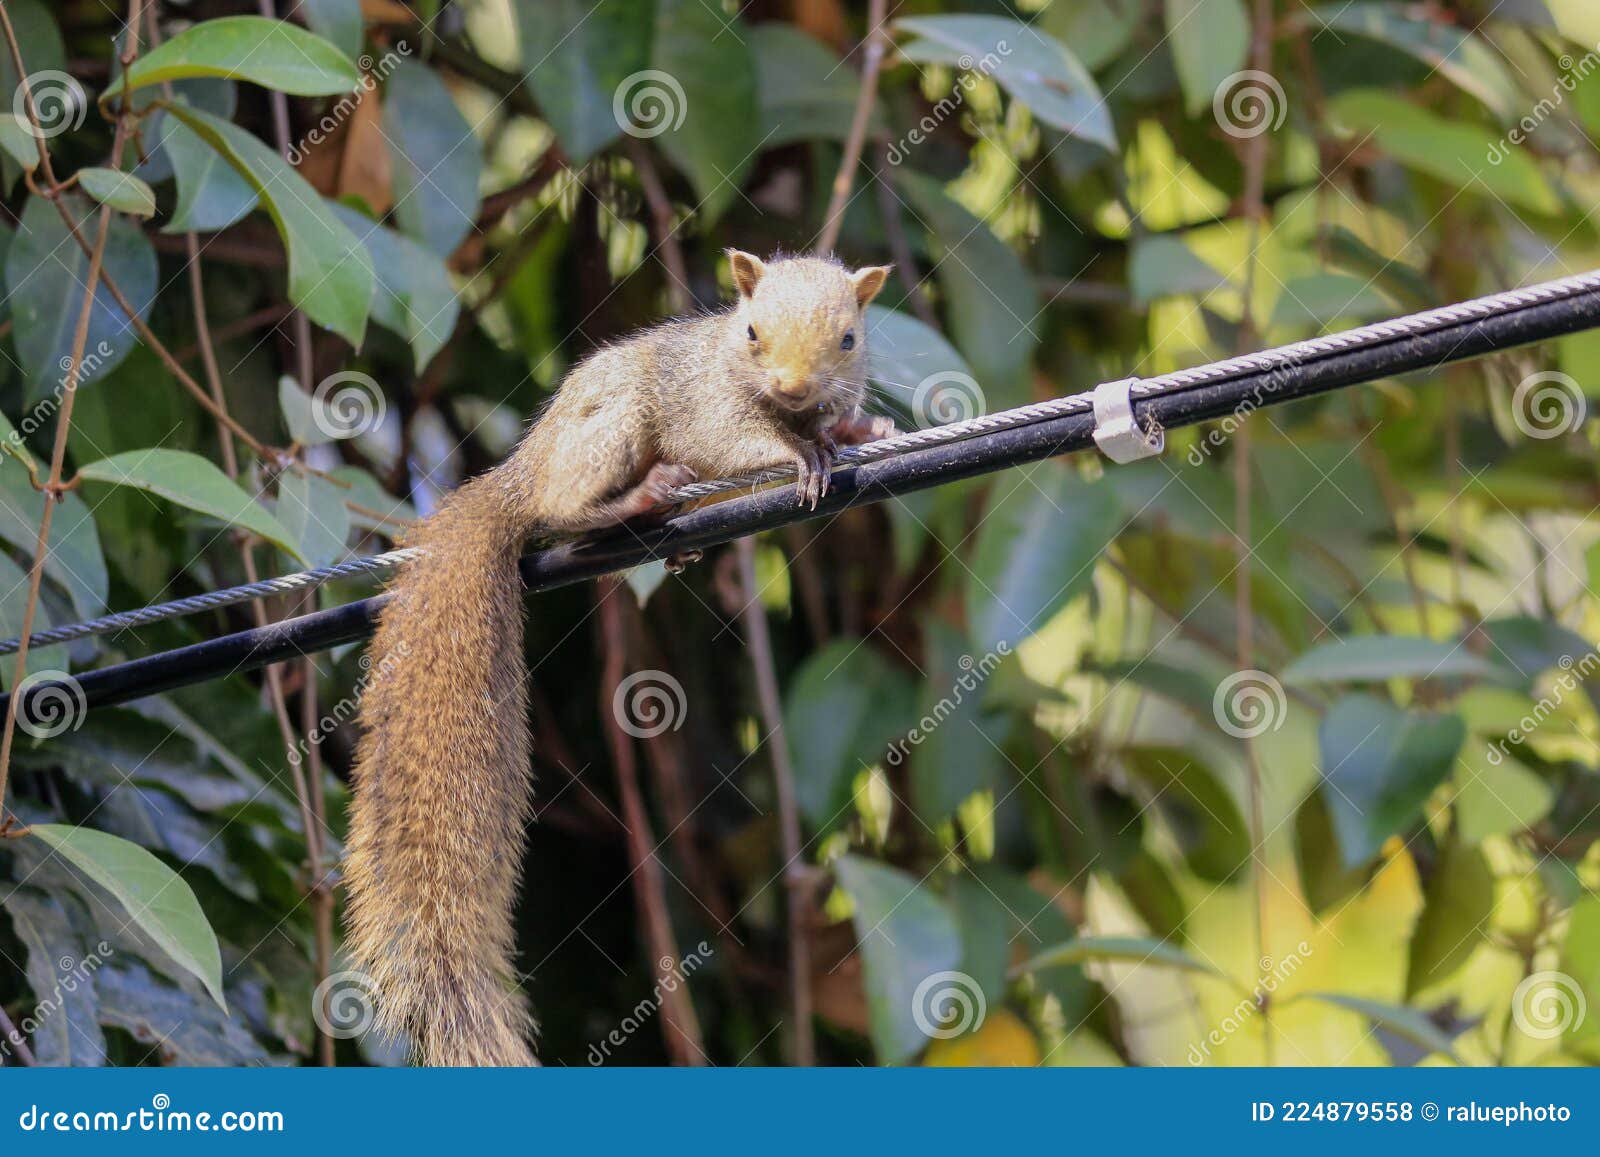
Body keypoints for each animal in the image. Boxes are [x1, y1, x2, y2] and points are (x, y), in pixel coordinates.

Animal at [344, 251, 894, 1066]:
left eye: (849, 338)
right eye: (752, 331)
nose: (795, 385)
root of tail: (522, 472)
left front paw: (860, 424)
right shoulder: (710, 408)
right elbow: (743, 443)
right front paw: (804, 452)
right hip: (609, 432)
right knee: (566, 510)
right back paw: (640, 498)